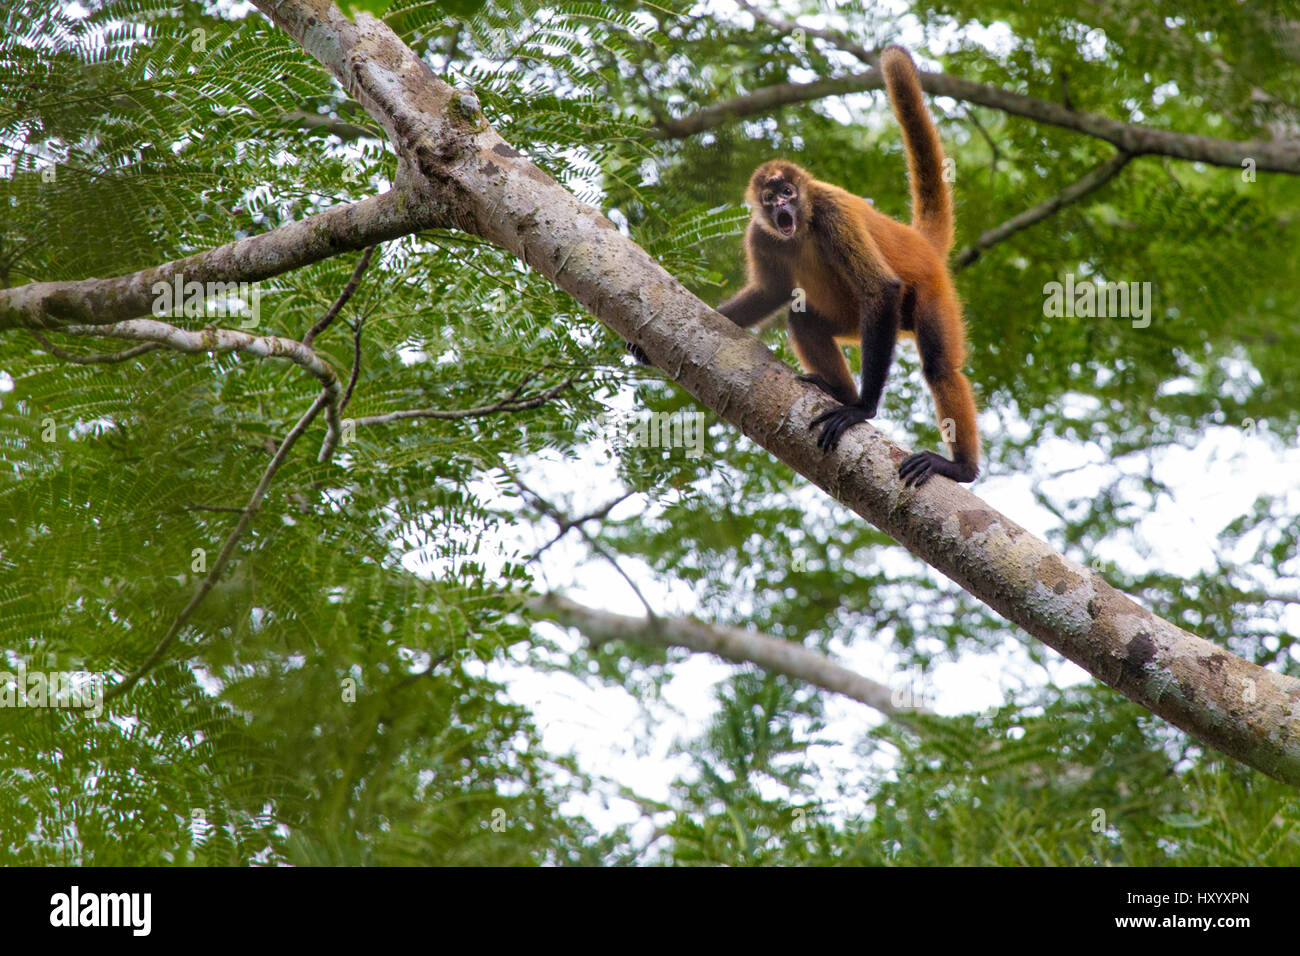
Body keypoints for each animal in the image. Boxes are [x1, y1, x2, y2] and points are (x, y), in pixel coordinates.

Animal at [712, 44, 979, 487]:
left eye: (788, 191)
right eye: (771, 198)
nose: (782, 204)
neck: (801, 227)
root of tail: (918, 241)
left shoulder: (832, 211)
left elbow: (882, 288)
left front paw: (863, 410)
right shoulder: (760, 233)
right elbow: (771, 292)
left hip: (926, 294)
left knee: (939, 366)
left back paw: (960, 467)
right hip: (857, 319)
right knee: (803, 319)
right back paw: (841, 392)